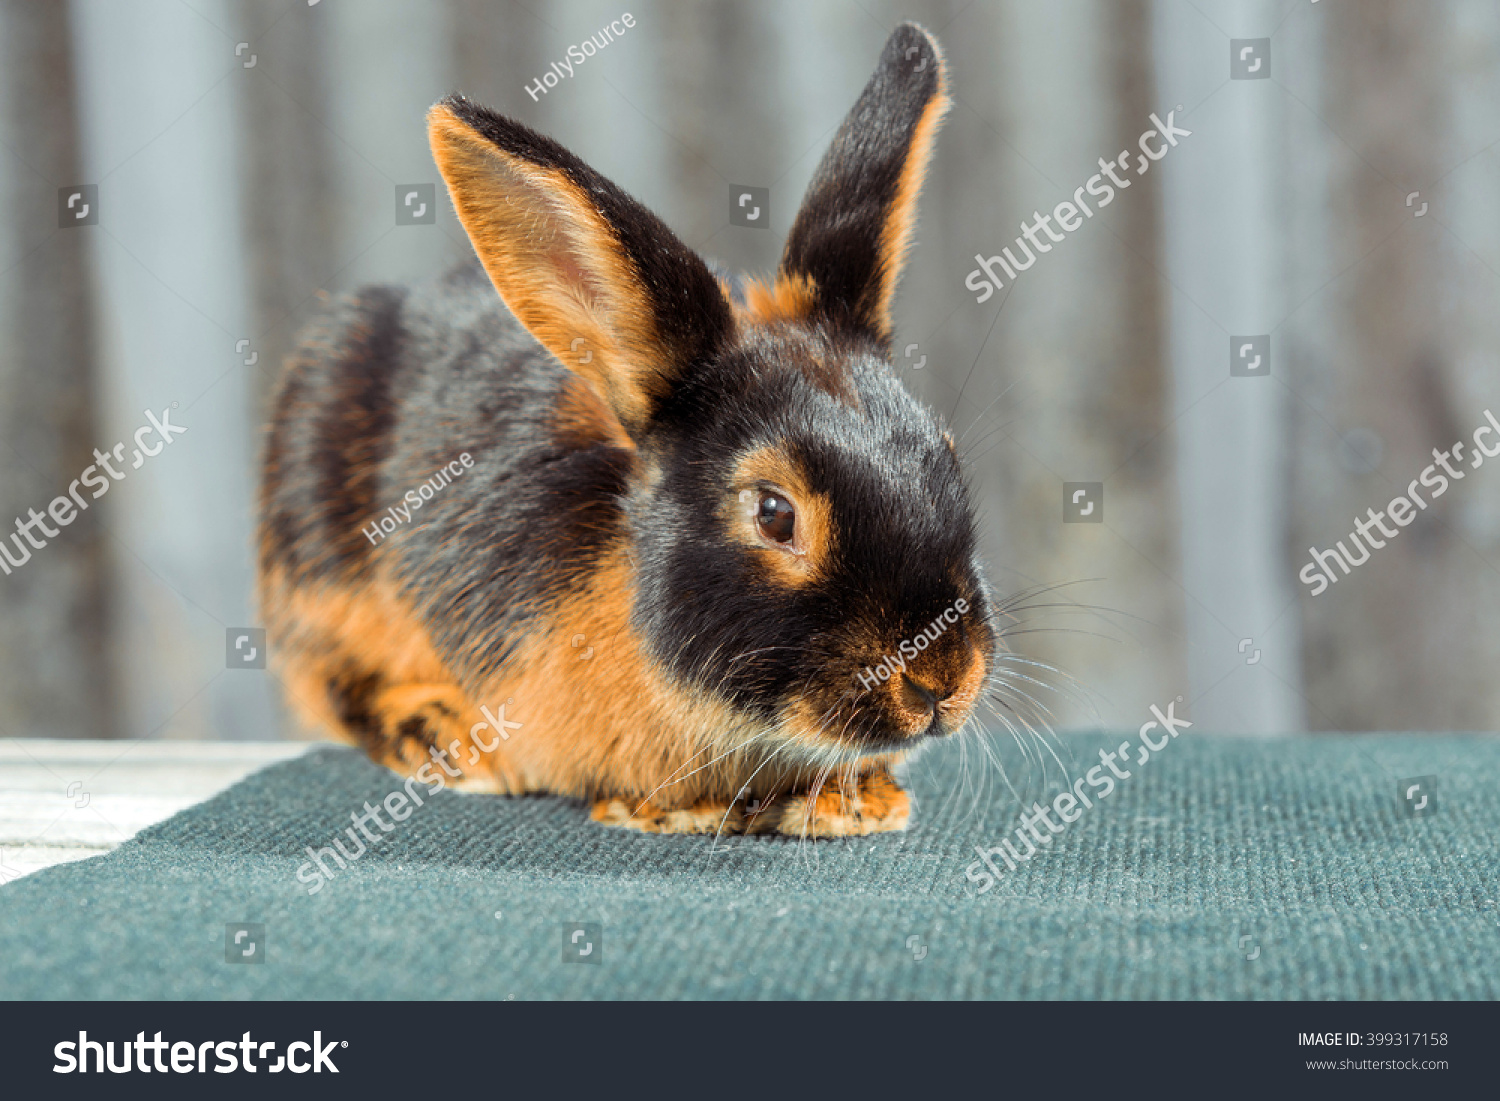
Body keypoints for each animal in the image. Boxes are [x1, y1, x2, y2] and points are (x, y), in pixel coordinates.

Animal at [258, 21, 996, 838]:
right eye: (775, 514)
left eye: (948, 461)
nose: (940, 676)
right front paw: (673, 809)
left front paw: (857, 801)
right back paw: (439, 733)